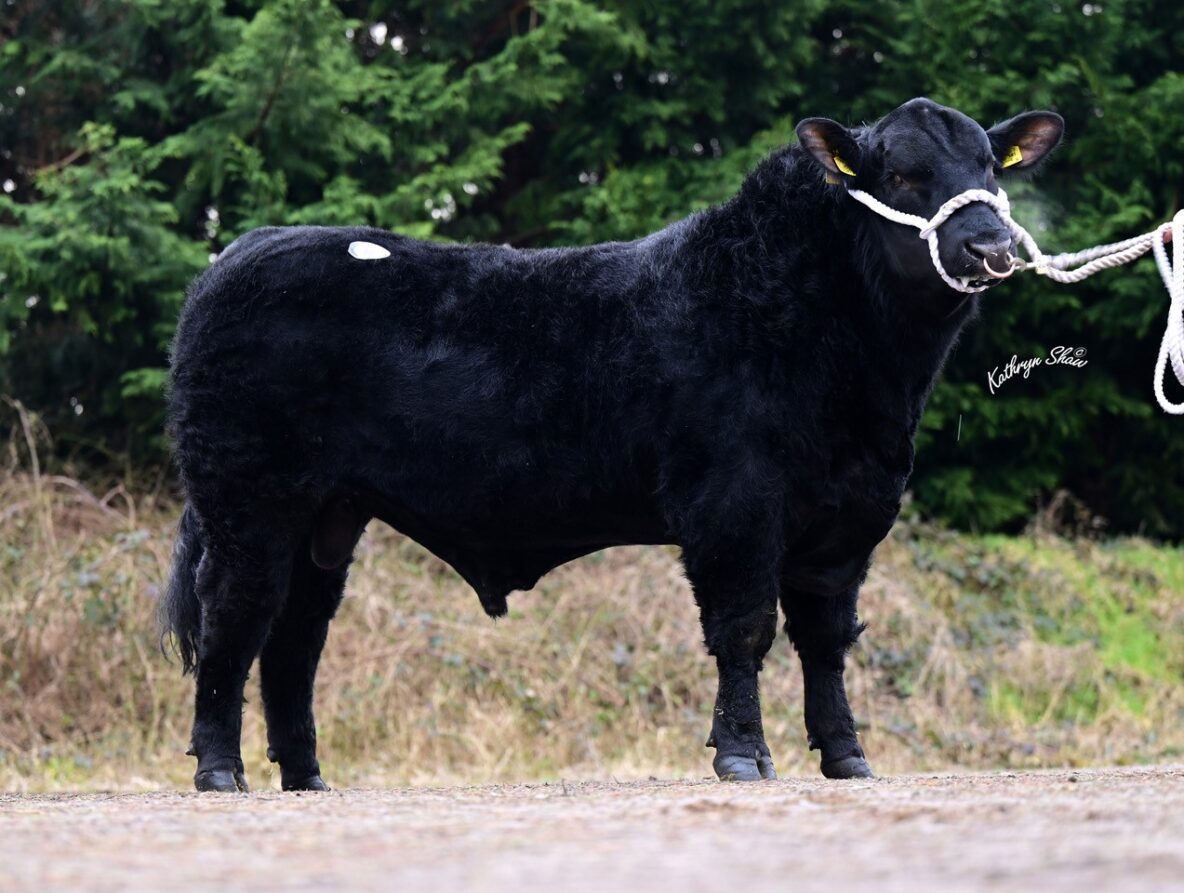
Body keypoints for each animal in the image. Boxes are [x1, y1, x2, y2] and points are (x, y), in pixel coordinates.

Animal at [161, 97, 1063, 792]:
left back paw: (305, 774)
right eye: (904, 174)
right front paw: (744, 754)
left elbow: (826, 640)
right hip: (248, 500)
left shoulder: (848, 519)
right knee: (235, 617)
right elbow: (744, 629)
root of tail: (238, 252)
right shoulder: (734, 506)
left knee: (295, 637)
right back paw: (219, 769)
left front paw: (846, 756)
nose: (990, 246)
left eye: (991, 168)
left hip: (327, 517)